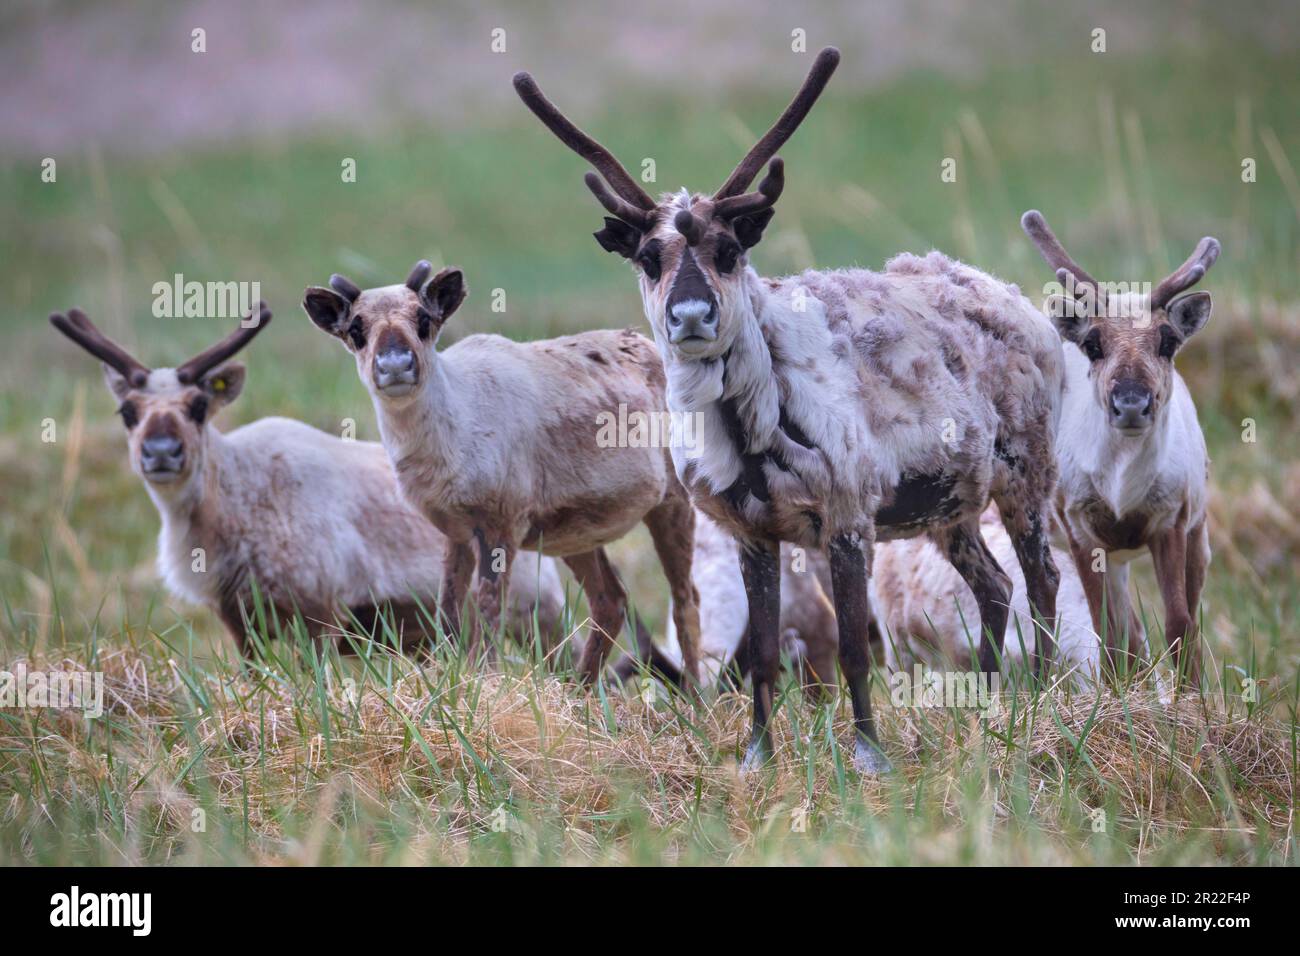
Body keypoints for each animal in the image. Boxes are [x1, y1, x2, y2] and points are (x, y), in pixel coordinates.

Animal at [49, 305, 565, 652]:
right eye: (127, 412)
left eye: (198, 406)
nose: (160, 453)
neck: (230, 501)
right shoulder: (239, 619)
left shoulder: (320, 612)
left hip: (537, 615)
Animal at [302, 261, 702, 686]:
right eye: (356, 328)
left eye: (424, 319)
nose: (395, 365)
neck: (453, 432)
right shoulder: (455, 529)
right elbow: (448, 606)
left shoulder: (502, 521)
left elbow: (489, 608)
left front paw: (487, 683)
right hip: (577, 532)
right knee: (611, 600)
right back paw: (580, 691)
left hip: (674, 499)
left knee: (685, 598)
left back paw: (695, 695)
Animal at [515, 46, 1066, 772]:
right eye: (648, 255)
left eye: (729, 250)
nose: (691, 315)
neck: (751, 430)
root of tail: (1014, 300)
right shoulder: (752, 529)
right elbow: (765, 652)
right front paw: (757, 755)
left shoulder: (849, 516)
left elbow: (856, 648)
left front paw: (868, 755)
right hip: (949, 504)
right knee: (995, 587)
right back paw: (989, 707)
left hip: (1025, 474)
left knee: (1044, 579)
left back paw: (1043, 701)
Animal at [1021, 210, 1218, 686]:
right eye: (1093, 344)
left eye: (1168, 340)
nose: (1131, 403)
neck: (1122, 488)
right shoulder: (1078, 526)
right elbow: (1105, 629)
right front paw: (1113, 696)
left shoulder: (1172, 518)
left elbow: (1179, 624)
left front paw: (1191, 700)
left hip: (1196, 532)